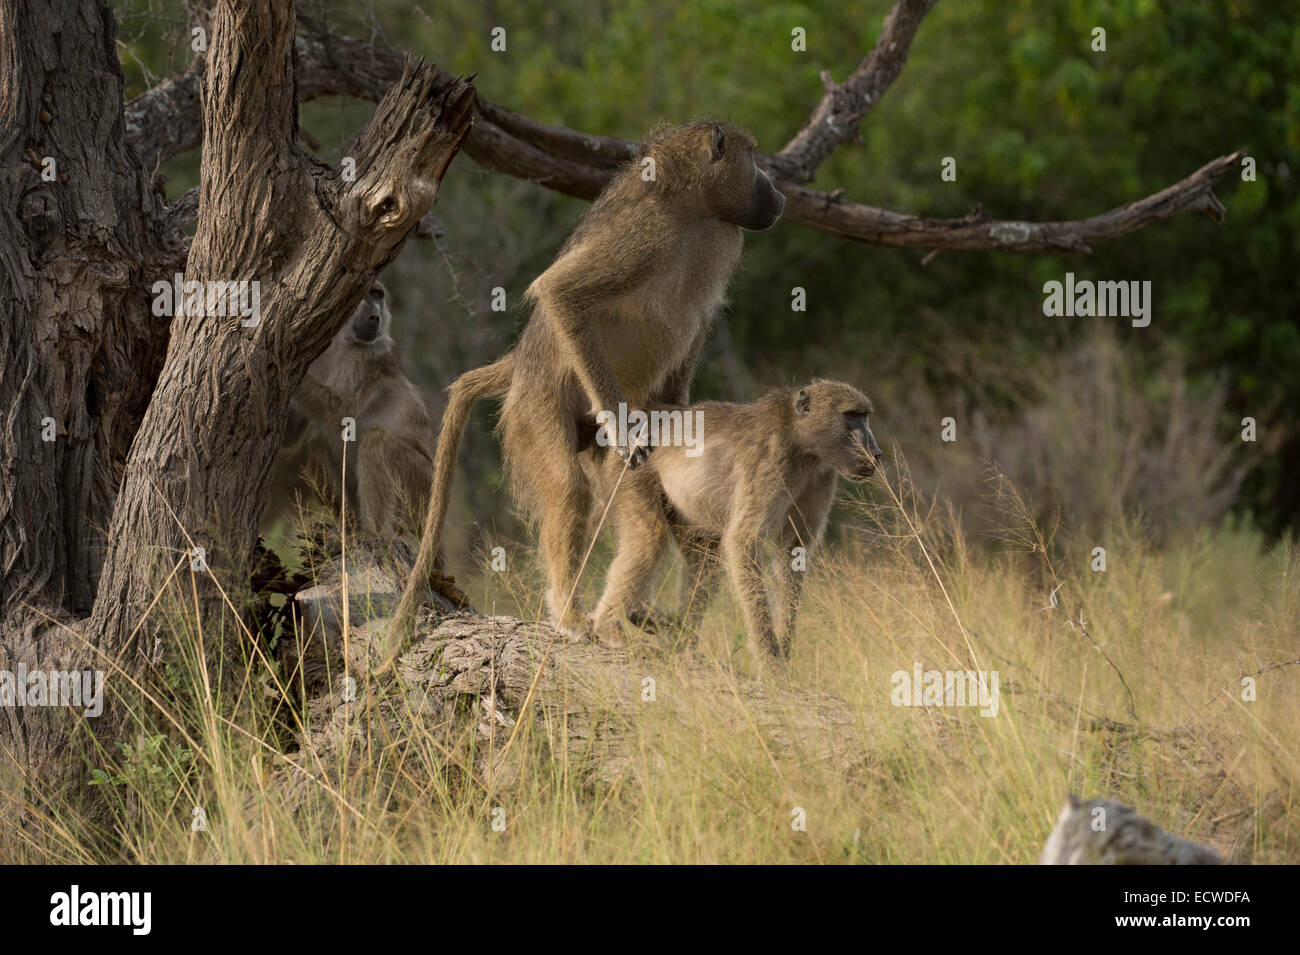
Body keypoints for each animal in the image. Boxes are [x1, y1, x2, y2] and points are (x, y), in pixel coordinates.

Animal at [268, 282, 438, 539]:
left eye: (378, 295)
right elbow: (292, 437)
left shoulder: (368, 358)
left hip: (421, 489)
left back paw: (376, 533)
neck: (342, 342)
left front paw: (283, 362)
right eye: (367, 294)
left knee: (375, 440)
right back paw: (350, 528)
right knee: (318, 444)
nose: (375, 316)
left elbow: (341, 412)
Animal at [386, 120, 785, 667]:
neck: (690, 207)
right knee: (568, 490)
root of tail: (519, 366)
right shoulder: (644, 234)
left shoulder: (722, 244)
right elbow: (562, 293)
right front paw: (624, 427)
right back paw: (570, 614)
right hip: (535, 409)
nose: (779, 195)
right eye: (754, 158)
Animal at [589, 379, 883, 661]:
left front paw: (784, 647)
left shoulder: (822, 477)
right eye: (852, 416)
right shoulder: (771, 462)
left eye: (864, 417)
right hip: (631, 470)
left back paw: (676, 636)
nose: (876, 453)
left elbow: (792, 550)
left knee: (705, 558)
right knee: (651, 537)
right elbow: (744, 542)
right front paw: (770, 659)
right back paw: (609, 628)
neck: (803, 444)